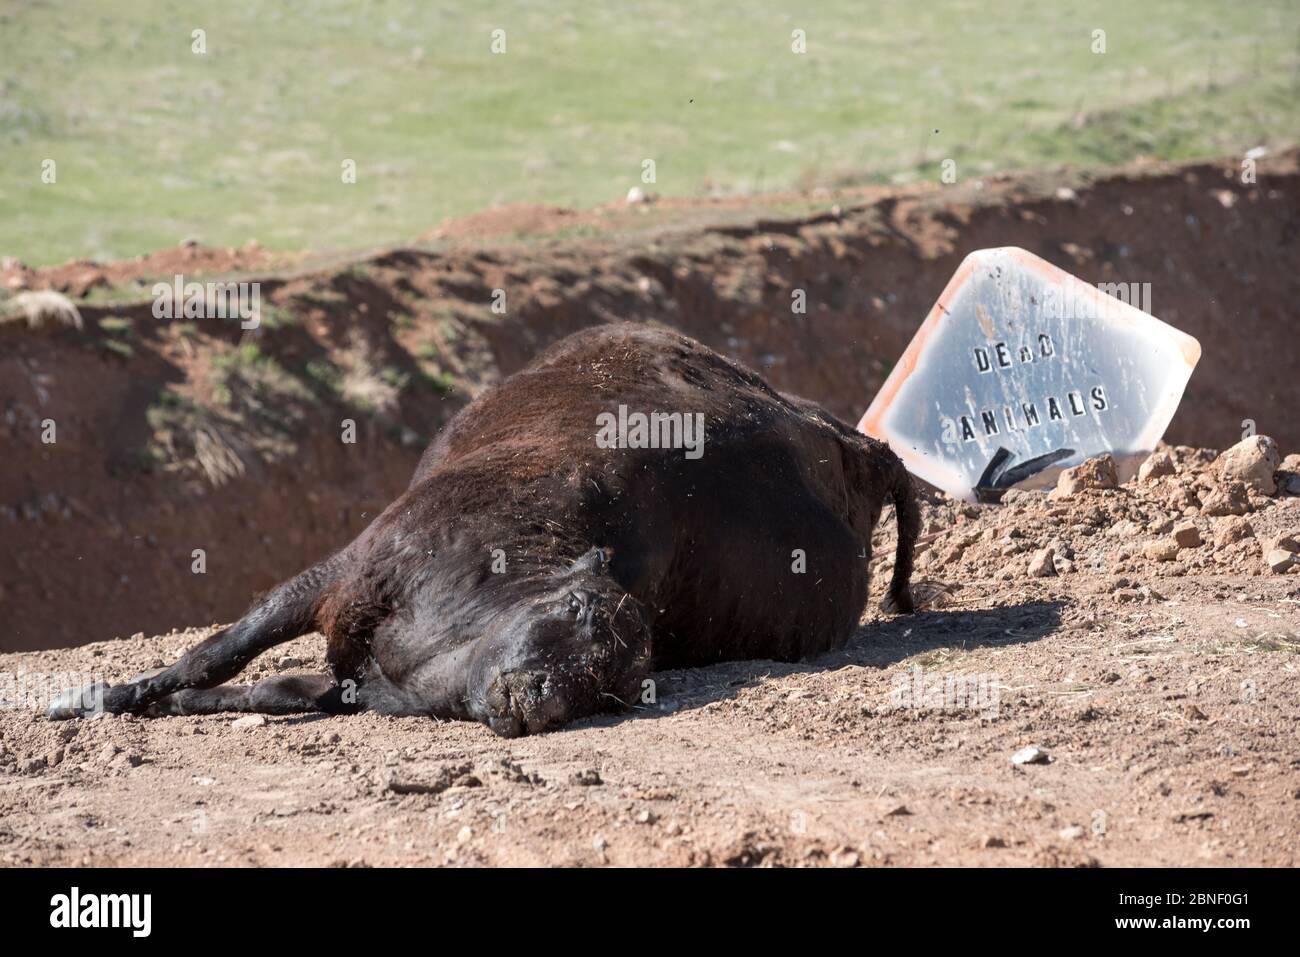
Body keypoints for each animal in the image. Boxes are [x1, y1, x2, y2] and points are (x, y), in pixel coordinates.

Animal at [50, 325, 920, 738]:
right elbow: (219, 654)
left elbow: (264, 685)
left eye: (615, 680)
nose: (542, 696)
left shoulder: (348, 676)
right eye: (573, 611)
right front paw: (95, 697)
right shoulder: (340, 575)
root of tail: (848, 443)